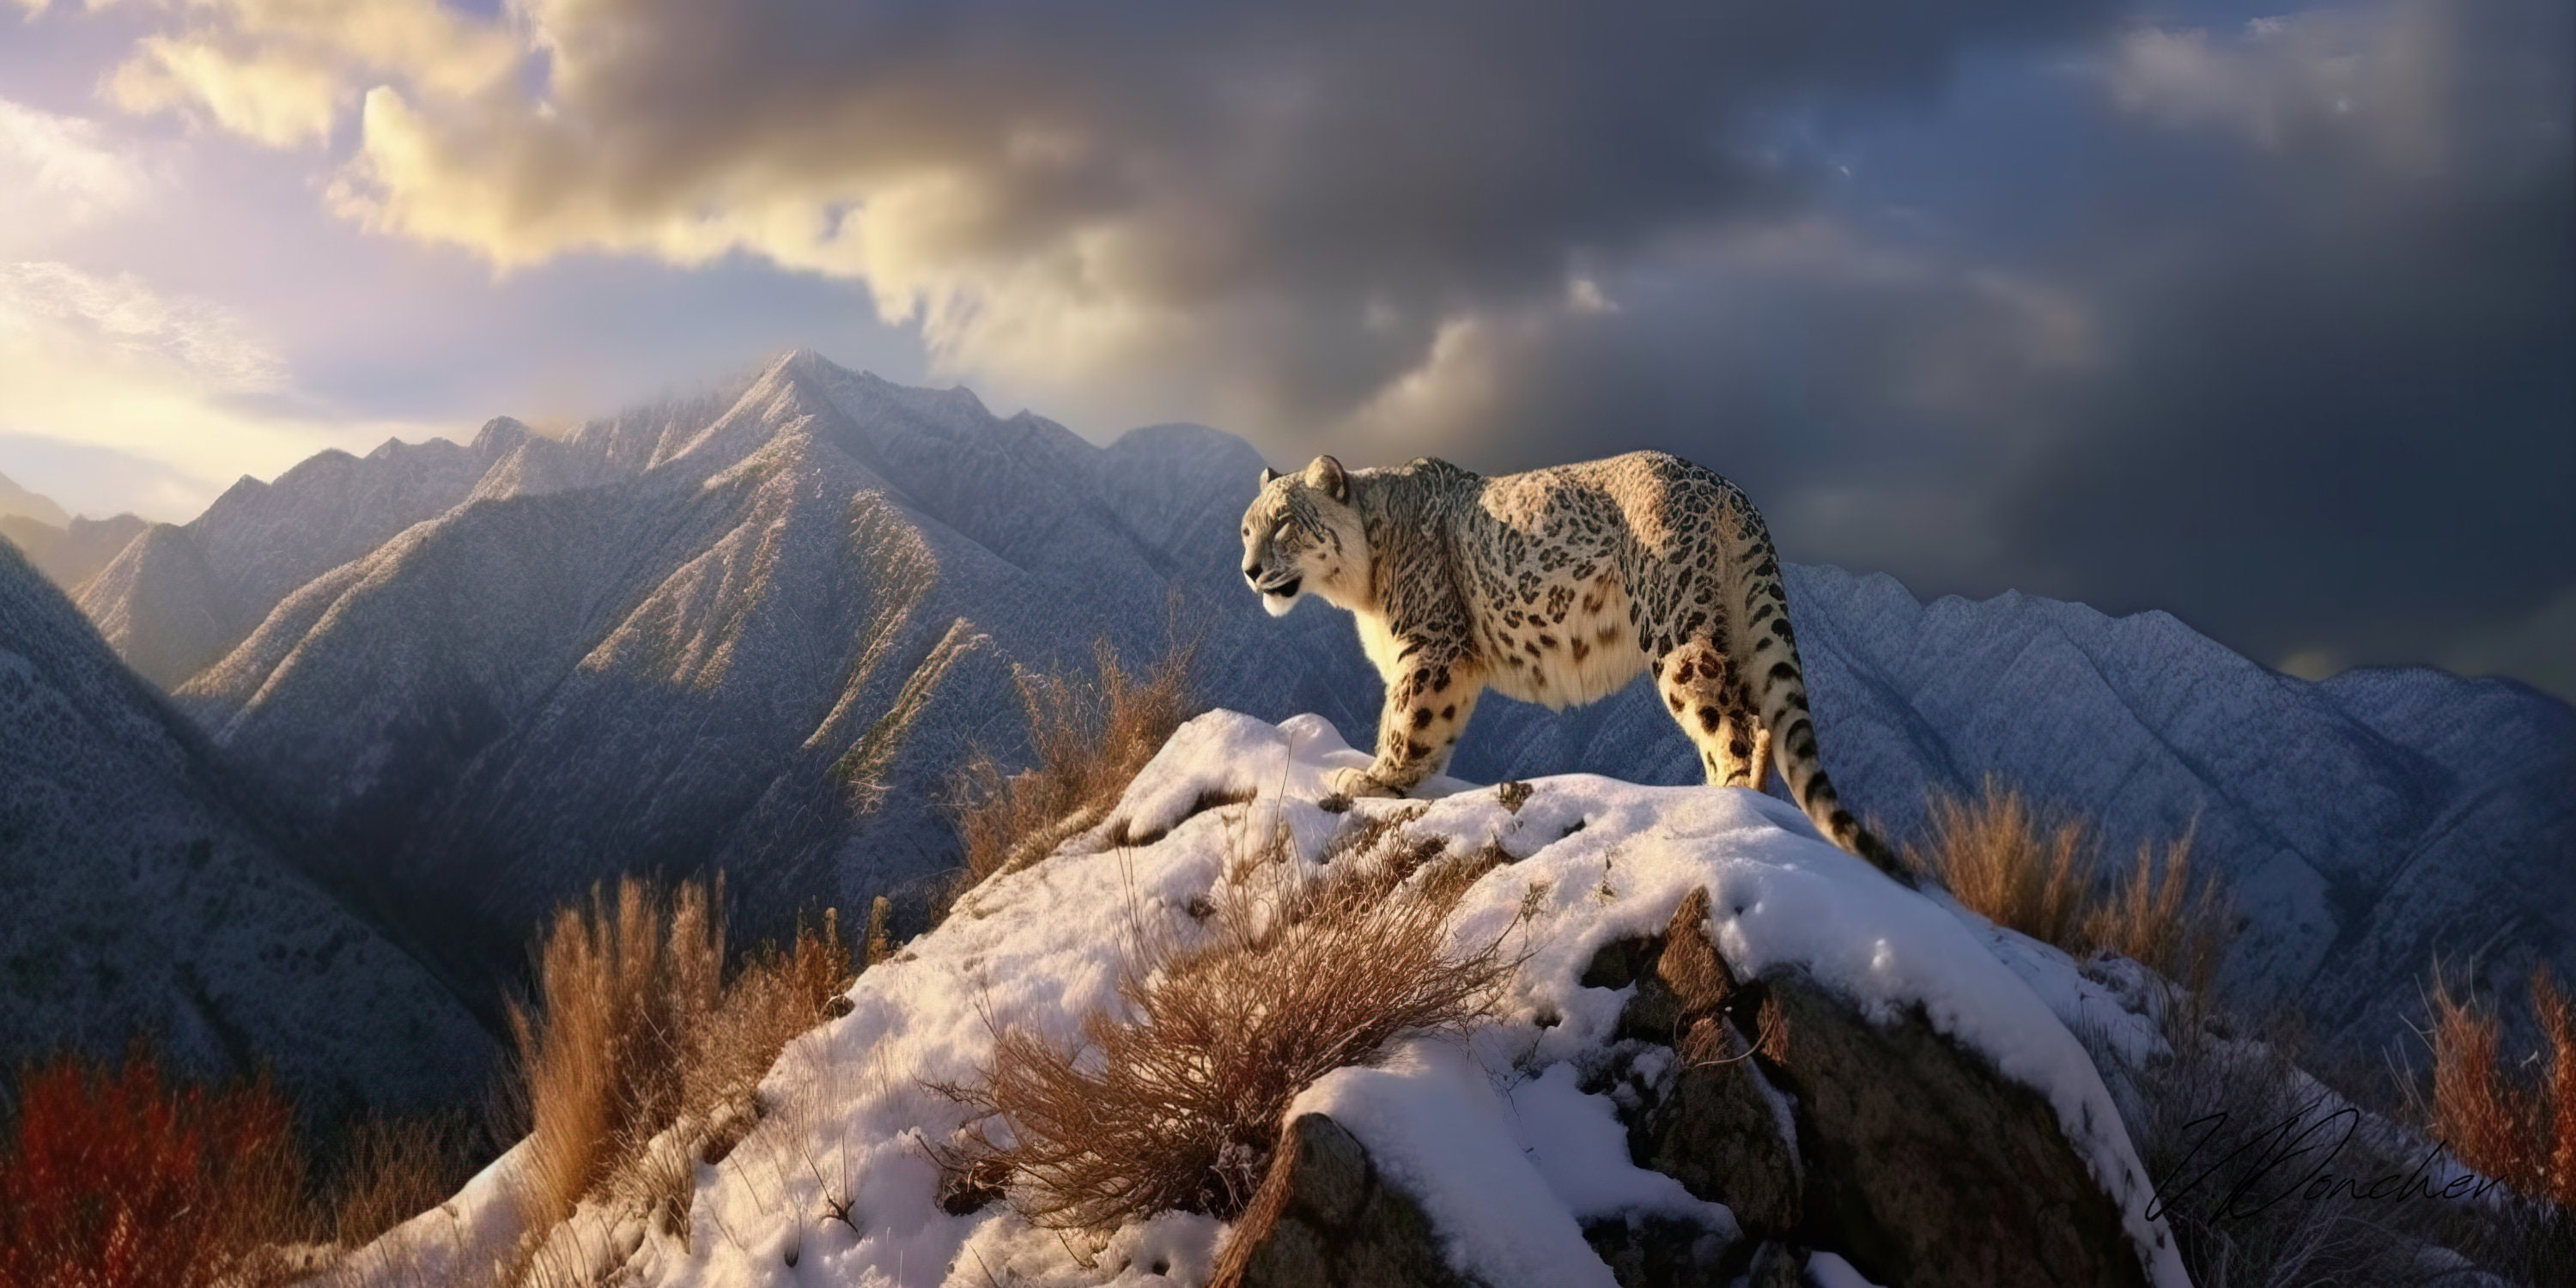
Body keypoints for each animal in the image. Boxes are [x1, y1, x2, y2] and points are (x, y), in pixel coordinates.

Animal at [1239, 450, 1907, 881]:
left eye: (1284, 523)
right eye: (1246, 528)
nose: (1248, 569)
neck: (1363, 589)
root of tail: (1730, 492)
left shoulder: (1430, 646)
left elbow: (1411, 718)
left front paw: (1375, 778)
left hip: (1677, 628)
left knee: (1729, 724)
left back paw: (1724, 802)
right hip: (1738, 626)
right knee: (1764, 716)